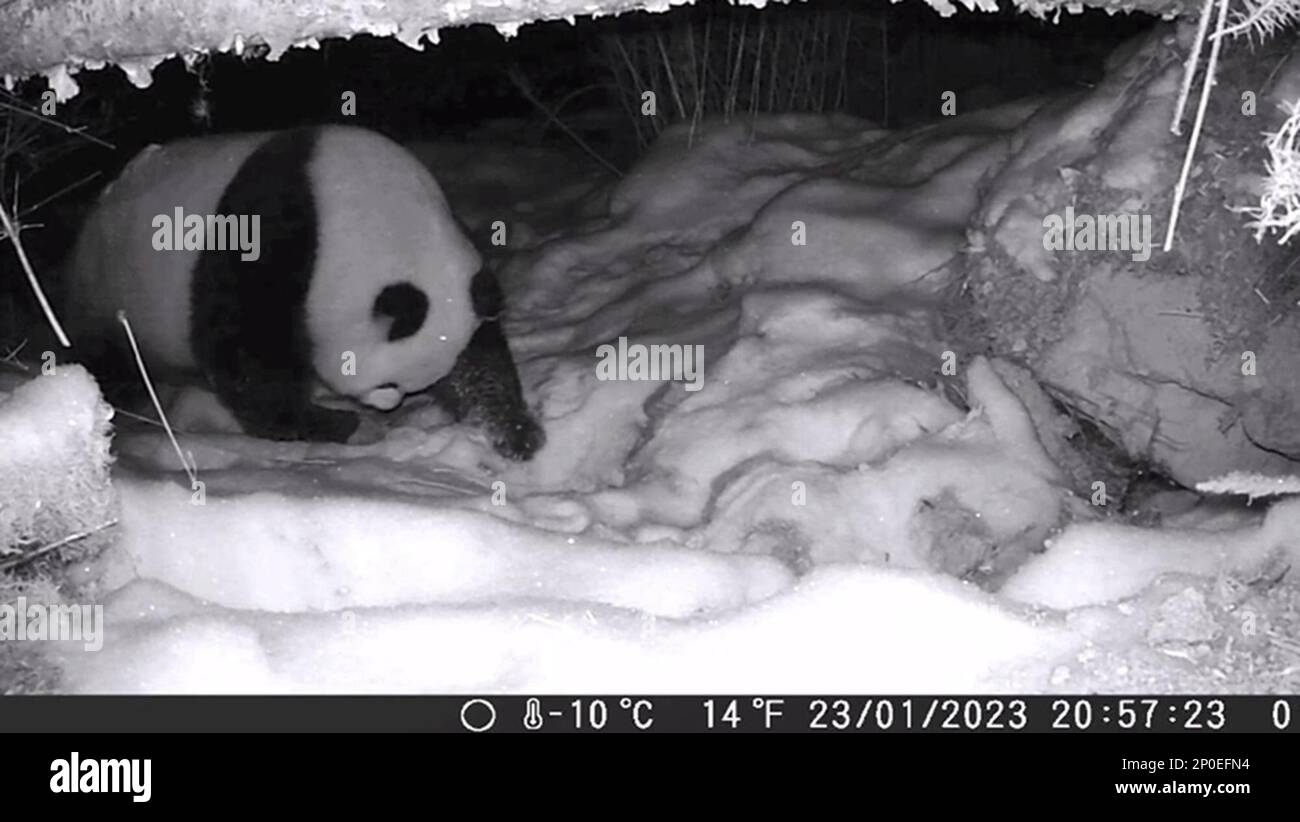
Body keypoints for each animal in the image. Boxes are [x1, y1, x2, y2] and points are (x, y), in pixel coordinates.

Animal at [62, 125, 544, 460]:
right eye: (388, 382)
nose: (388, 405)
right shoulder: (269, 239)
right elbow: (248, 356)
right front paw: (347, 426)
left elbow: (480, 353)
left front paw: (516, 432)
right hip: (104, 286)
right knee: (105, 354)